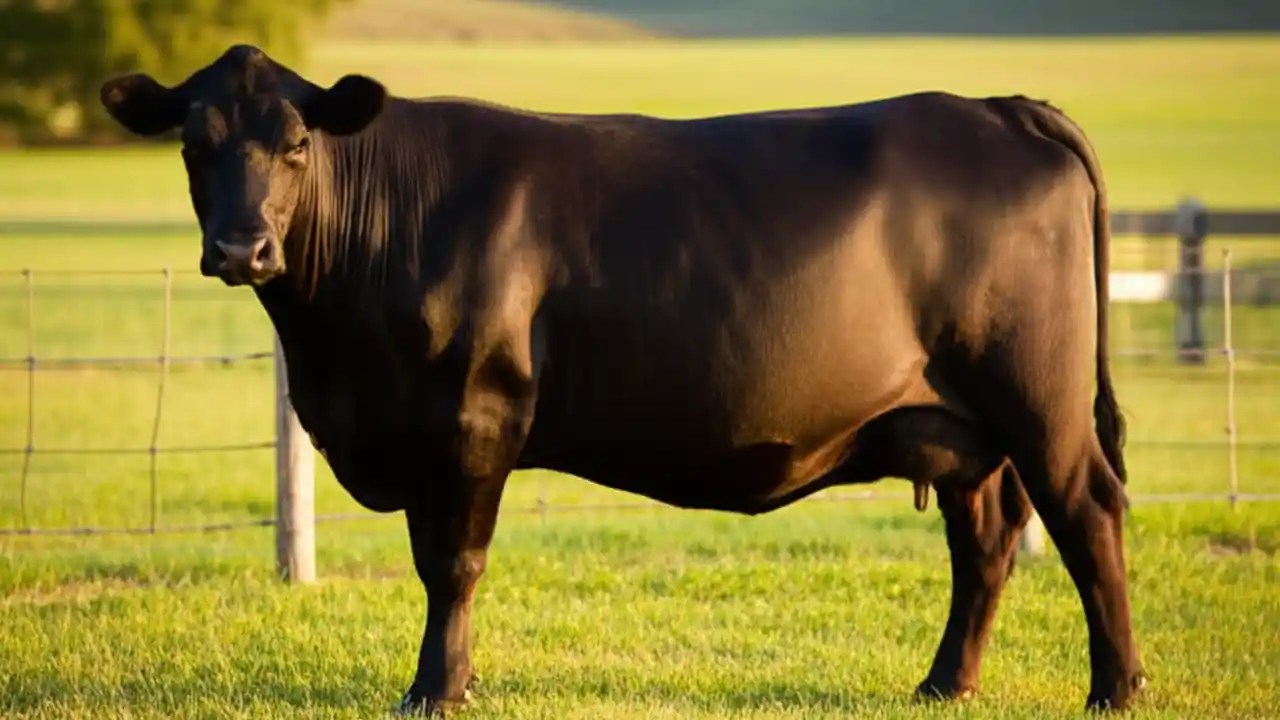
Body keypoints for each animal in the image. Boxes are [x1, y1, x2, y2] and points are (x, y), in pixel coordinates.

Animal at [99, 44, 1146, 715]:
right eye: (193, 145)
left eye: (296, 145)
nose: (242, 247)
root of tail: (996, 107)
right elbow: (438, 563)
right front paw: (450, 682)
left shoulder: (475, 416)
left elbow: (452, 564)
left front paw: (435, 691)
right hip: (960, 427)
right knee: (986, 539)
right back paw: (942, 684)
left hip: (1040, 403)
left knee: (1086, 511)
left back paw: (1116, 687)